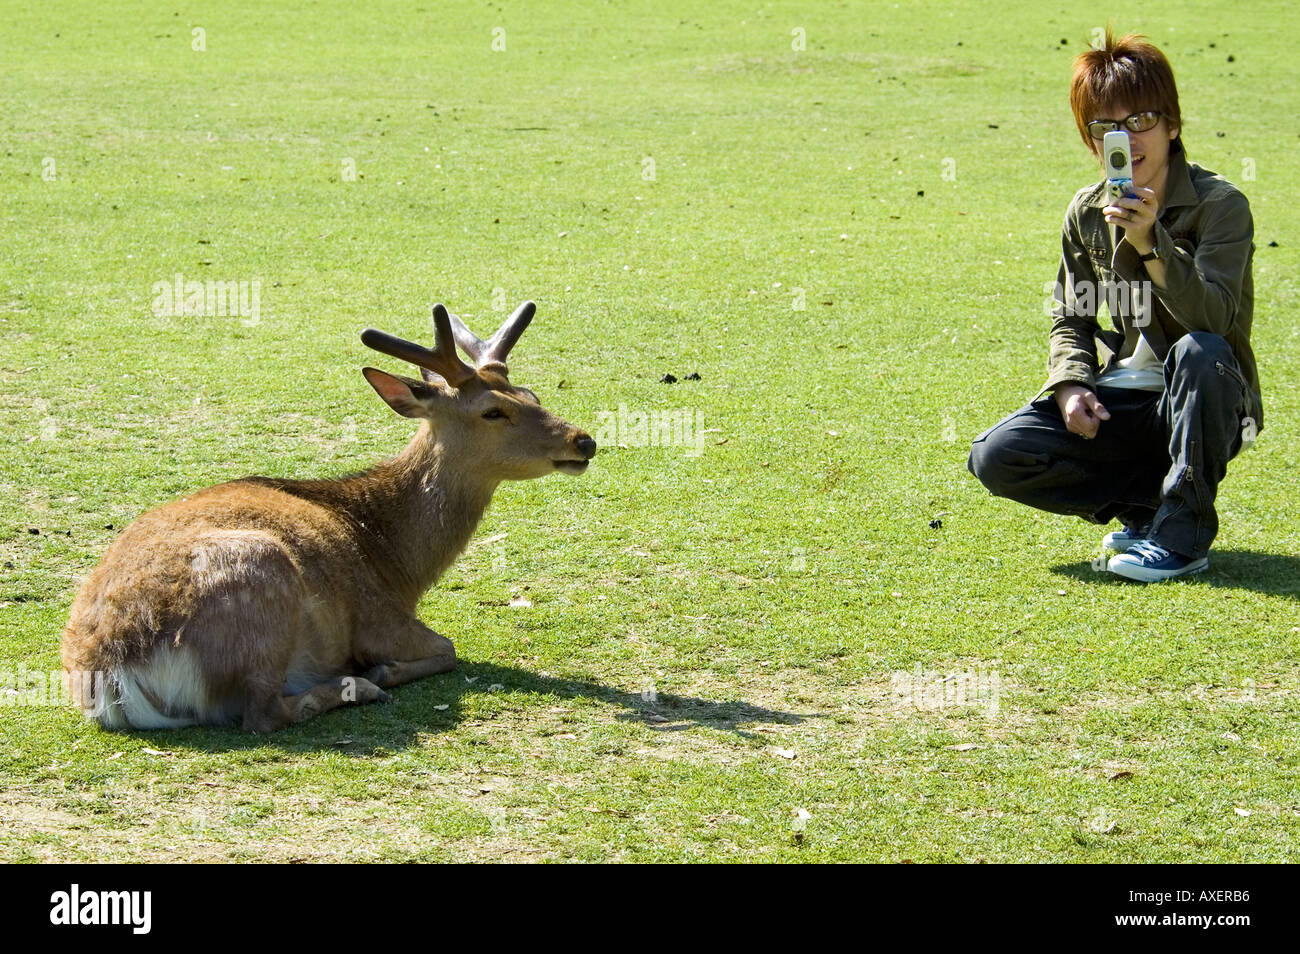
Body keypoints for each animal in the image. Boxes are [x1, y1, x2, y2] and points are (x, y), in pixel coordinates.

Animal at [61, 300, 596, 732]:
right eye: (492, 411)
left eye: (532, 395)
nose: (584, 440)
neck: (396, 560)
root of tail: (112, 675)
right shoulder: (380, 618)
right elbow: (448, 648)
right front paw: (380, 671)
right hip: (263, 579)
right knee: (263, 715)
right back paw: (357, 688)